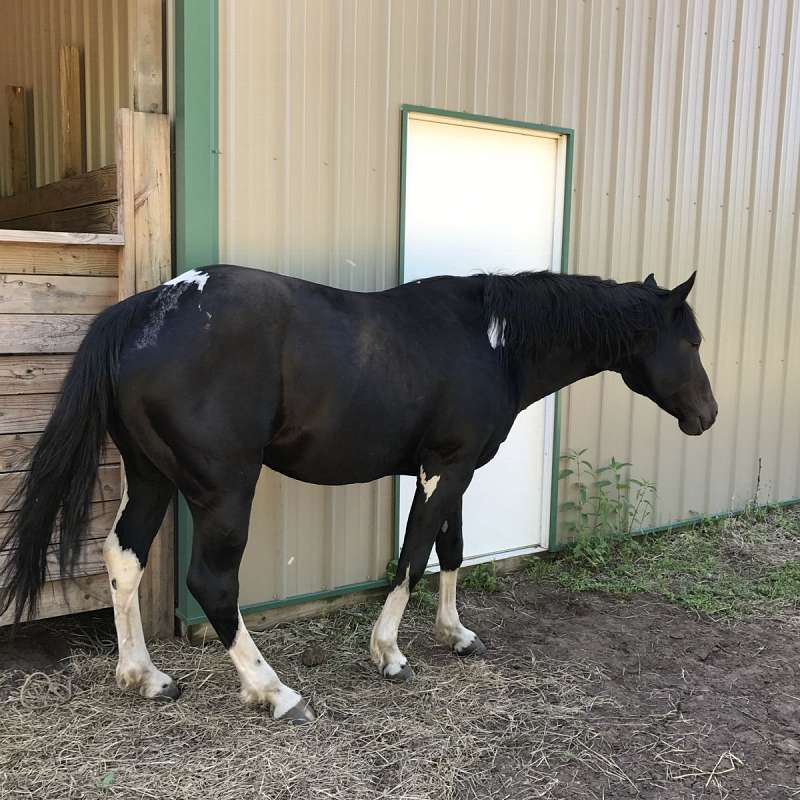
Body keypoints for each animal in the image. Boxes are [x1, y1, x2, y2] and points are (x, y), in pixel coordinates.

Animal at [0, 265, 717, 724]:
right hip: (224, 488)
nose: (706, 416)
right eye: (691, 340)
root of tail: (143, 311)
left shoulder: (454, 470)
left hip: (152, 475)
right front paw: (389, 653)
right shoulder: (444, 469)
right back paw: (275, 692)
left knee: (124, 558)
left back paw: (145, 677)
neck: (490, 341)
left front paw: (457, 635)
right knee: (213, 583)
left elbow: (452, 551)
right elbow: (413, 557)